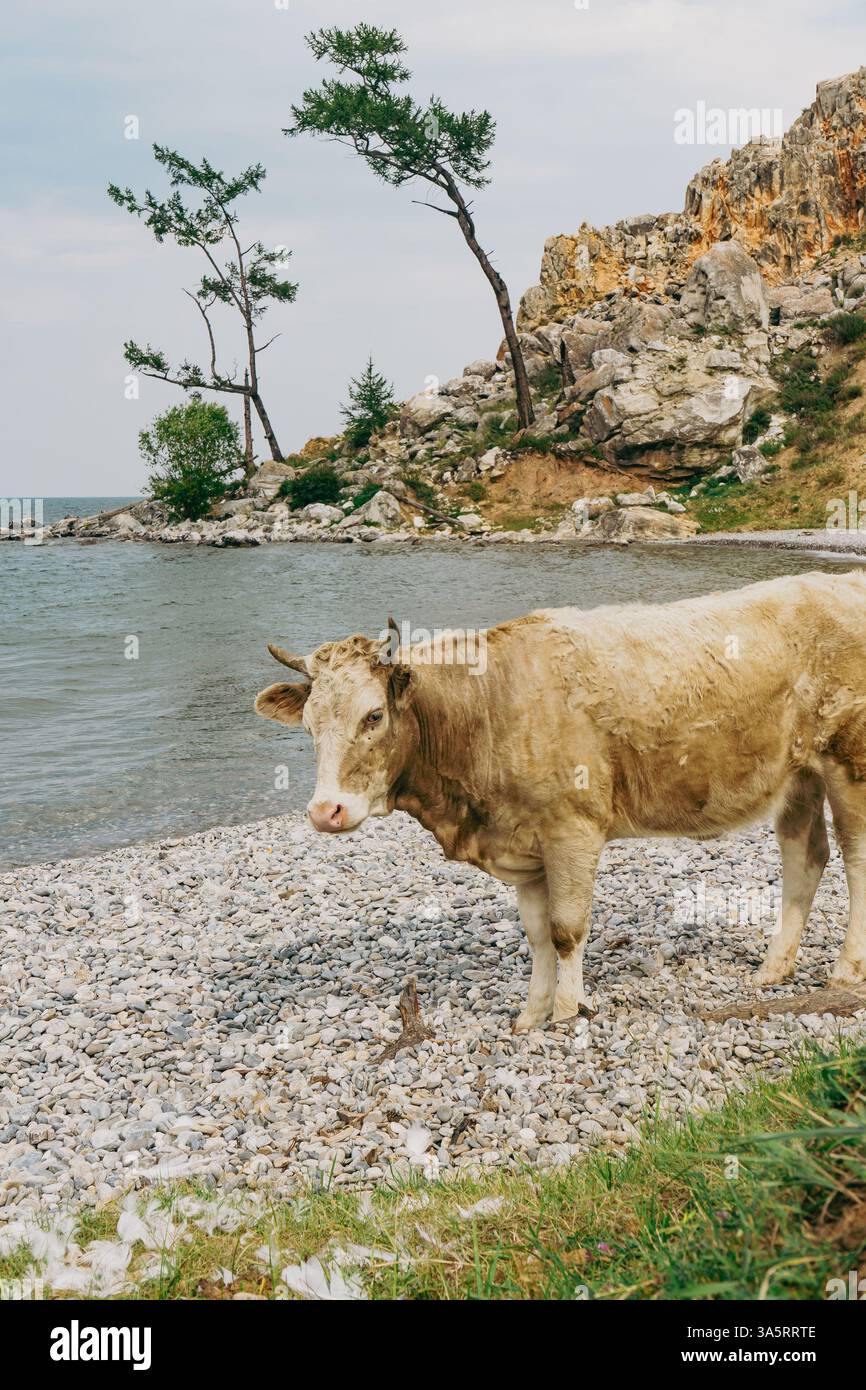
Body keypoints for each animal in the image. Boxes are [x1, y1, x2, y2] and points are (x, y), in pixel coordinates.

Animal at [255, 570, 866, 1031]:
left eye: (374, 715)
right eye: (309, 726)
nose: (325, 811)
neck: (487, 707)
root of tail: (838, 580)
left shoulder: (572, 828)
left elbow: (567, 928)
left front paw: (568, 1013)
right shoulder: (523, 843)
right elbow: (537, 935)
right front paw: (531, 1015)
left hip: (849, 760)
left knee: (856, 859)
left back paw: (844, 970)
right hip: (798, 772)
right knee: (804, 855)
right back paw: (773, 968)